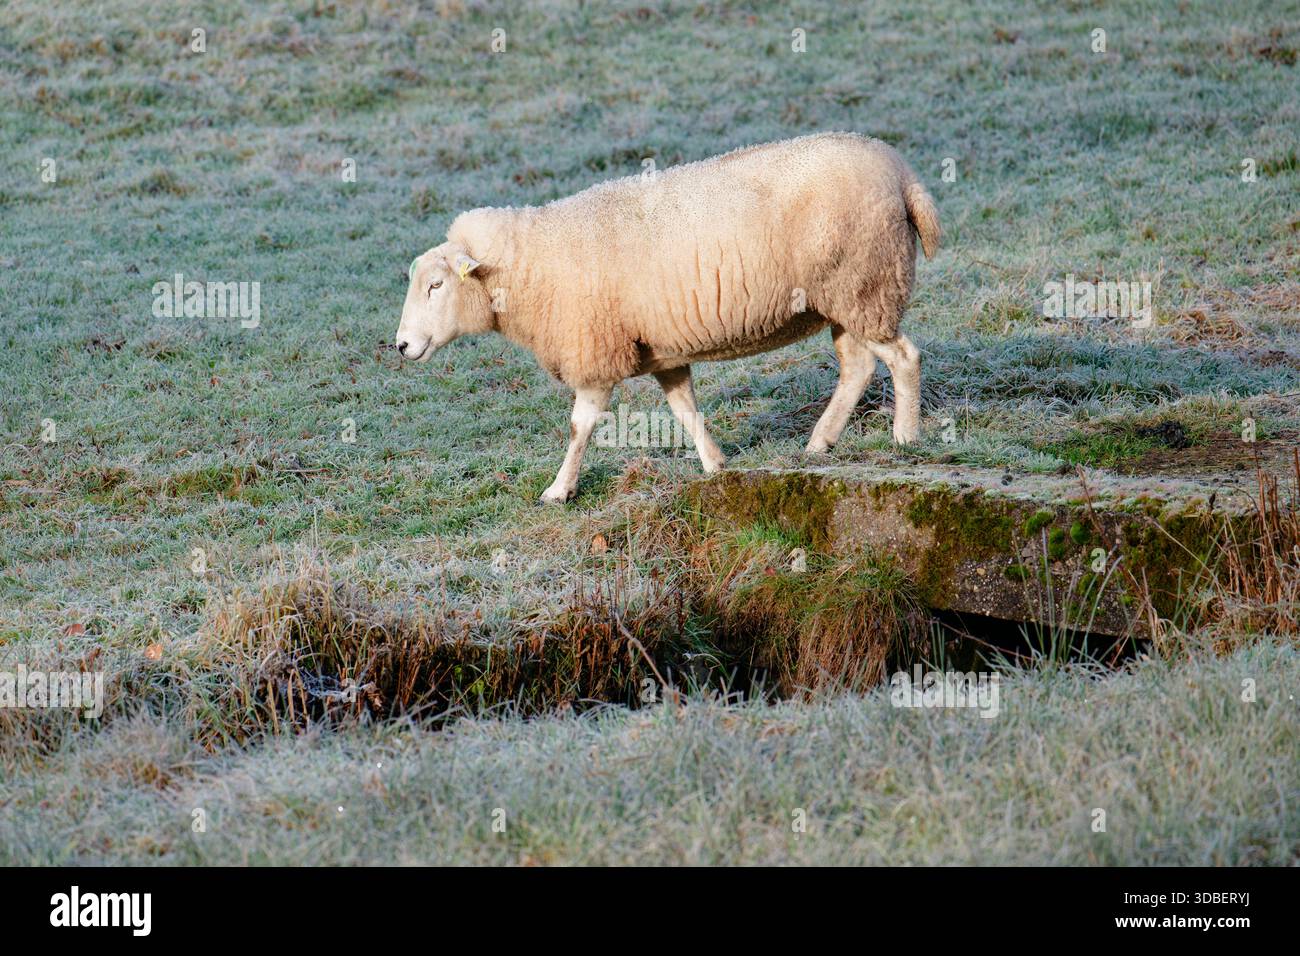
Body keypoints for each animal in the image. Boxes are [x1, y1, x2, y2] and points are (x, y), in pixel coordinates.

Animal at [395, 131, 940, 503]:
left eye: (436, 285)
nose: (400, 345)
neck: (529, 264)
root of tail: (902, 172)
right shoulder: (662, 350)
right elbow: (685, 410)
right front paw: (715, 465)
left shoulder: (595, 351)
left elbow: (579, 427)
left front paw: (559, 490)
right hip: (846, 298)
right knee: (858, 367)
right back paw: (818, 444)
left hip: (865, 283)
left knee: (903, 357)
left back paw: (906, 436)